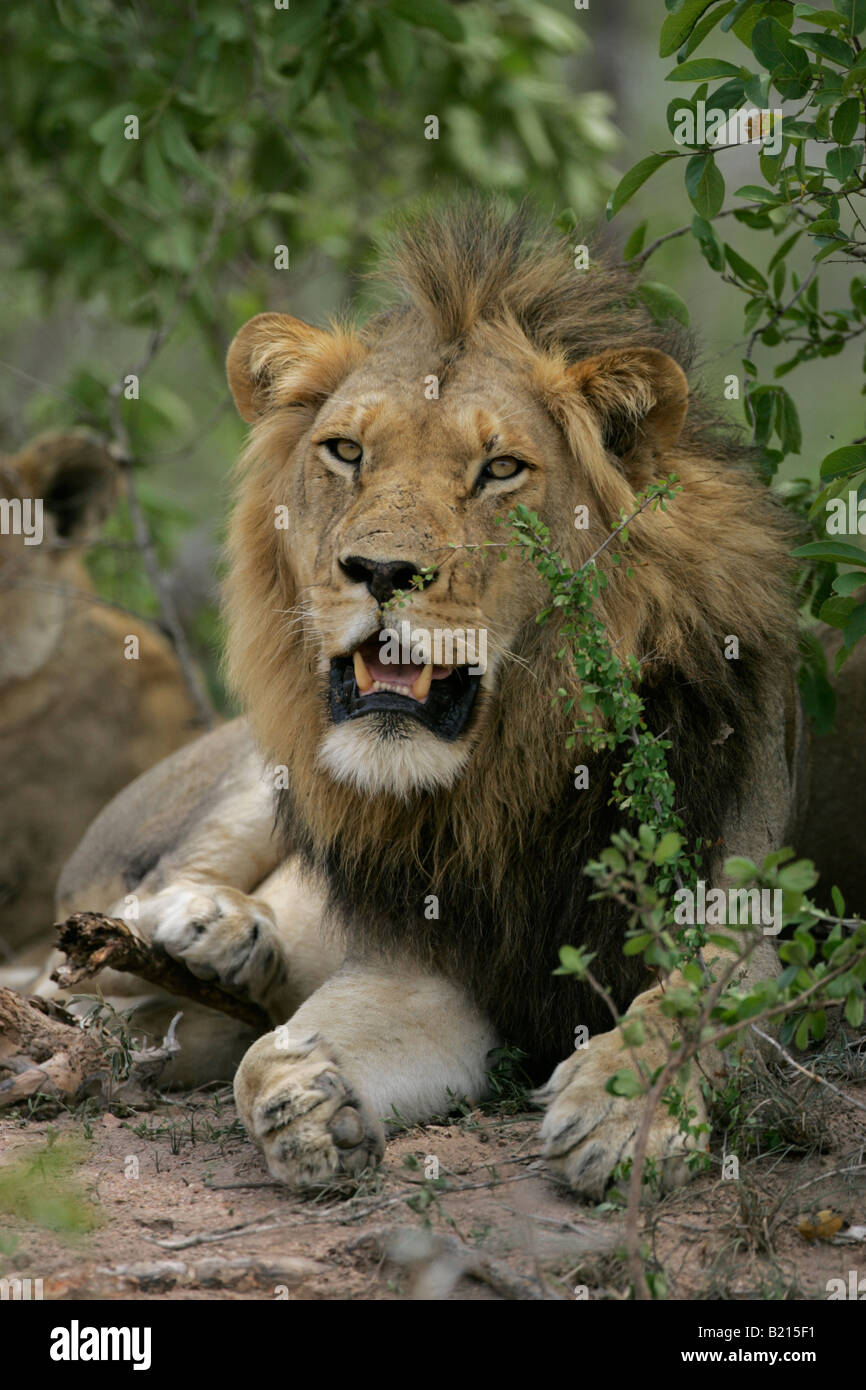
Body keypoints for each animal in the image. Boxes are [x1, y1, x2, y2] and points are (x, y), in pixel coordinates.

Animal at [45, 203, 860, 1199]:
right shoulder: (423, 965)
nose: (382, 571)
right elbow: (267, 1059)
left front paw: (620, 1104)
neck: (516, 765)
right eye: (346, 451)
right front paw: (303, 1102)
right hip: (242, 783)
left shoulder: (745, 926)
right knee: (91, 952)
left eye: (501, 469)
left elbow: (694, 999)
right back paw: (213, 928)